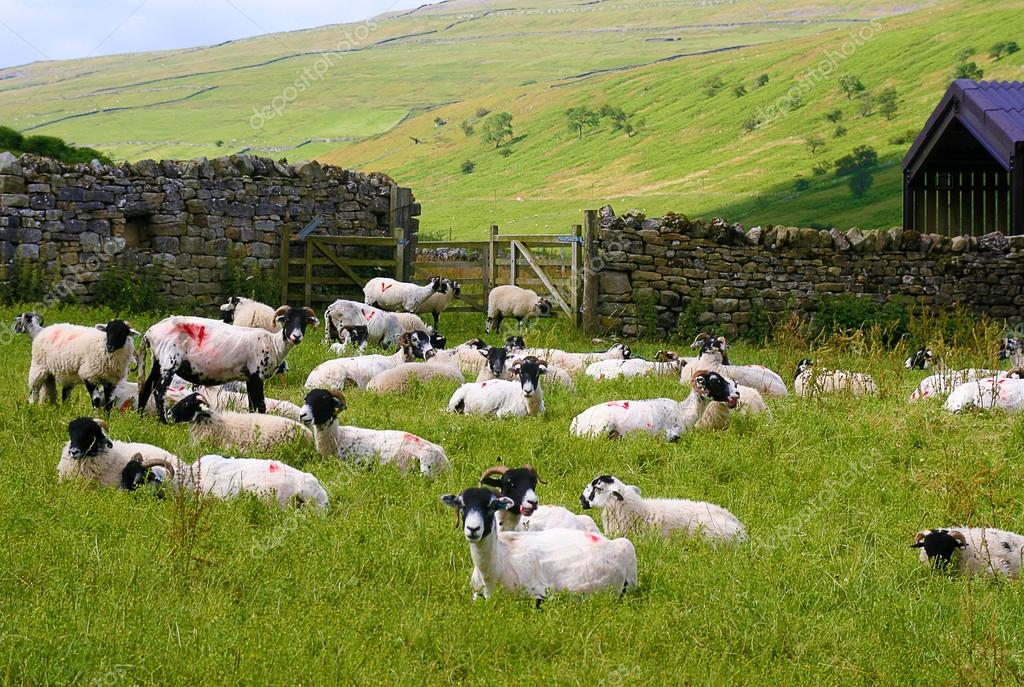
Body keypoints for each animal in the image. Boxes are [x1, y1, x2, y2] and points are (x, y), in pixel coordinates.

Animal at [138, 306, 318, 420]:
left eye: (304, 321)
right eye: (287, 319)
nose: (296, 337)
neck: (273, 344)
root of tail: (150, 332)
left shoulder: (249, 378)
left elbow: (252, 406)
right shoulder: (256, 375)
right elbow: (261, 406)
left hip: (158, 361)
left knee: (146, 387)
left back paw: (140, 416)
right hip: (170, 361)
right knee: (159, 392)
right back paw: (163, 421)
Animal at [570, 370, 739, 441]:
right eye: (715, 381)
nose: (737, 393)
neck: (683, 412)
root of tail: (575, 424)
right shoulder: (670, 434)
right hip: (600, 428)